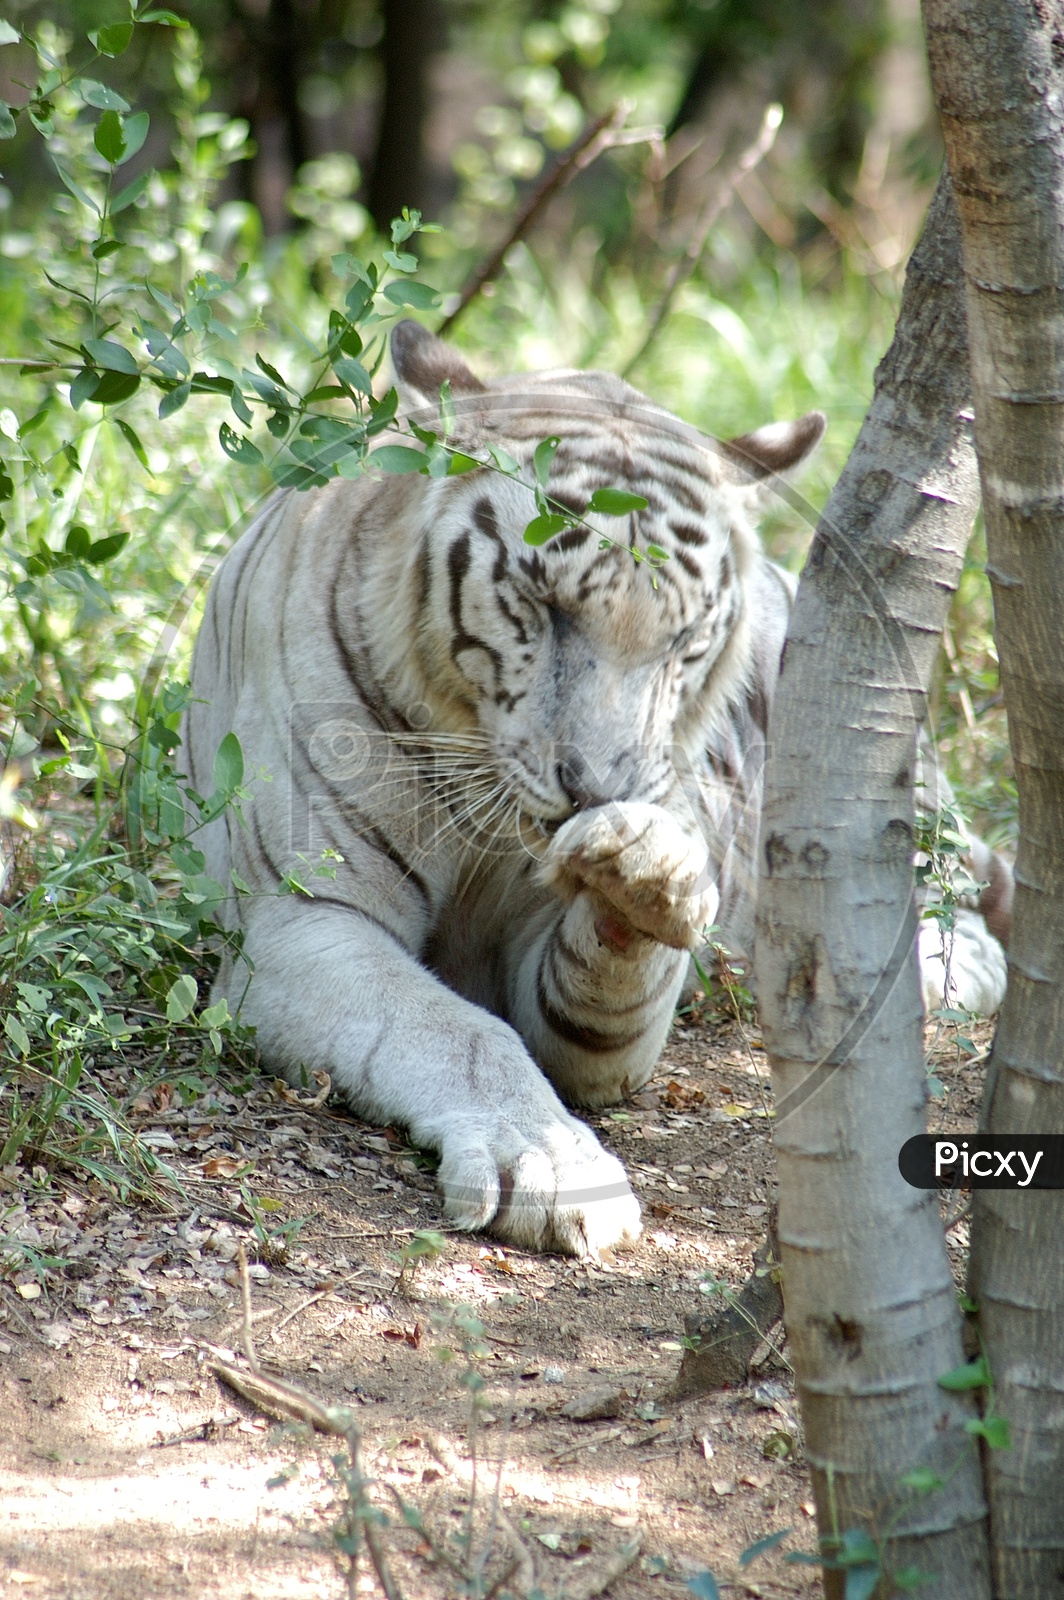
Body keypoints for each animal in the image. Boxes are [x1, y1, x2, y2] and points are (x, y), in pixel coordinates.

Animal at [183, 320, 1010, 1259]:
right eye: (541, 603)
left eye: (684, 638)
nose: (596, 787)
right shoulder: (302, 920)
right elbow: (459, 1032)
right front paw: (550, 1167)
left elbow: (602, 992)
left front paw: (648, 876)